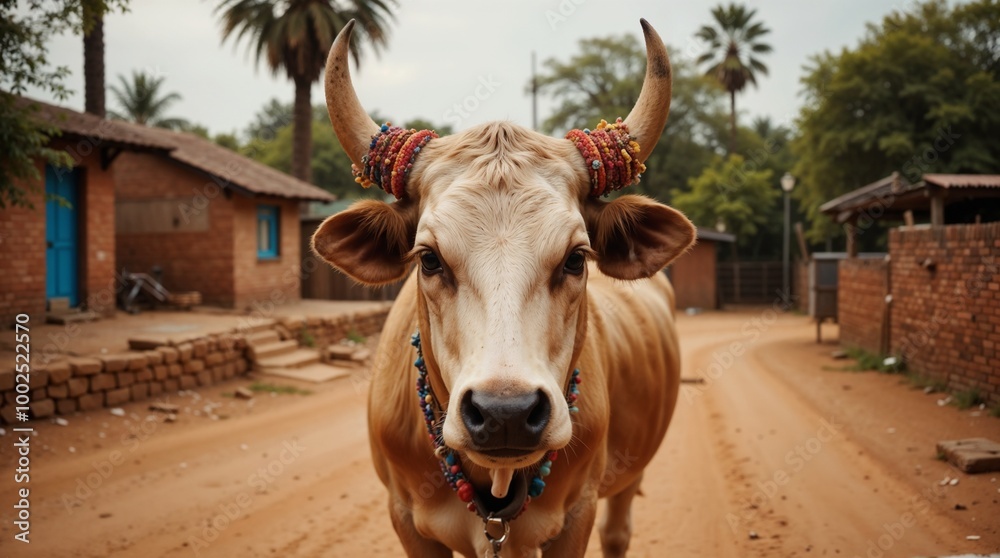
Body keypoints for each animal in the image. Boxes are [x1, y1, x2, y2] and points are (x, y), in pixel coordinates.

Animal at [311, 18, 695, 558]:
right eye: (428, 259)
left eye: (576, 258)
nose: (505, 413)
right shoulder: (404, 518)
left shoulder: (577, 514)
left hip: (625, 480)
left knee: (618, 532)